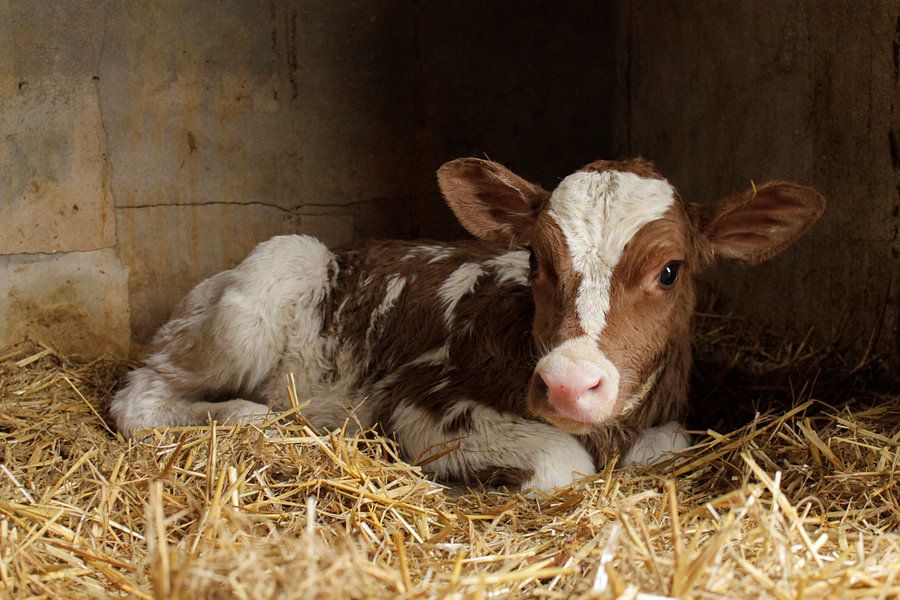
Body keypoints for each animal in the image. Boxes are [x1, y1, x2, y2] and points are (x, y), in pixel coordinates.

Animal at [110, 157, 825, 492]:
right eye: (535, 258)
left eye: (671, 270)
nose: (568, 384)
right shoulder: (421, 396)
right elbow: (562, 463)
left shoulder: (666, 423)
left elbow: (662, 448)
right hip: (260, 289)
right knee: (140, 393)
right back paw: (248, 418)